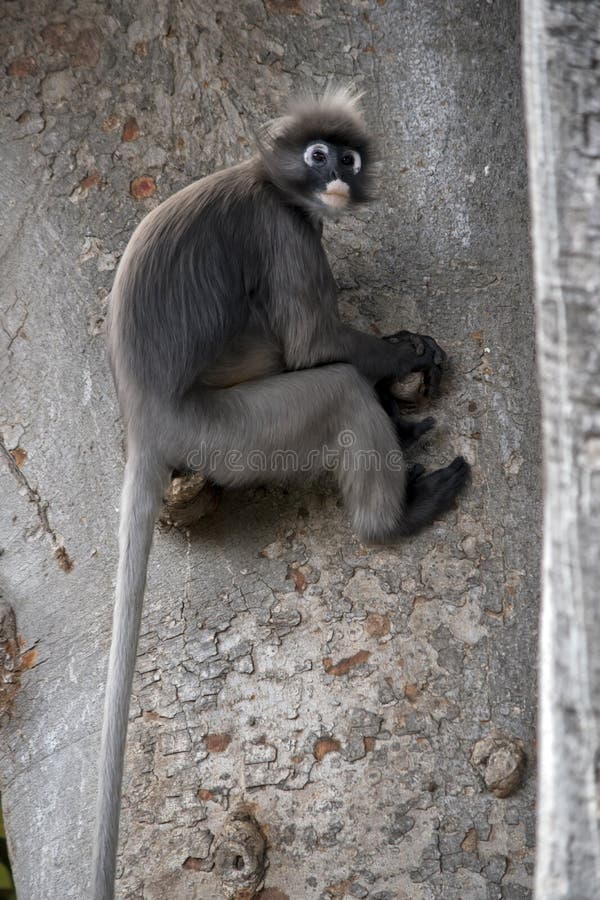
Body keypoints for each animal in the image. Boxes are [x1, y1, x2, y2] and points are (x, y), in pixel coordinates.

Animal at [92, 87, 470, 899]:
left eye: (348, 157)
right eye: (317, 154)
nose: (334, 176)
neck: (273, 183)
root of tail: (144, 420)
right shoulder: (283, 230)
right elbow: (312, 343)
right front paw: (406, 351)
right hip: (232, 434)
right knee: (333, 386)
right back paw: (393, 515)